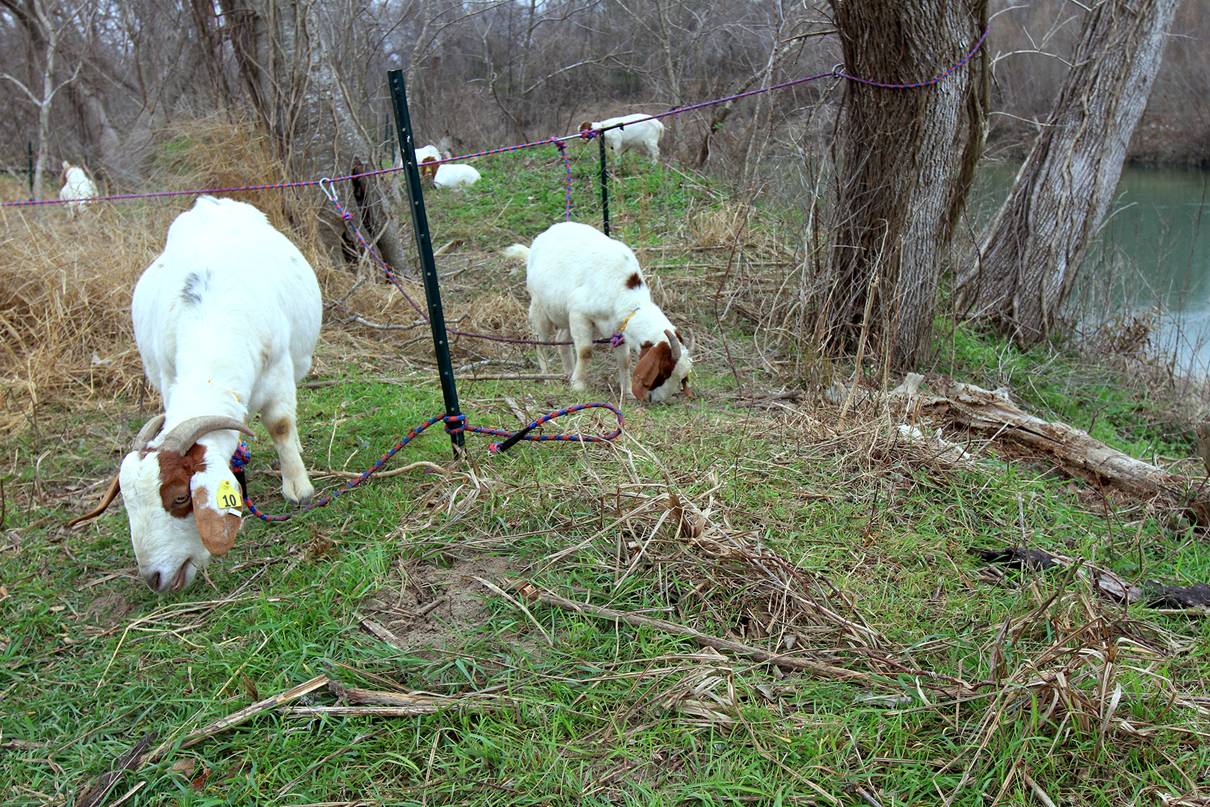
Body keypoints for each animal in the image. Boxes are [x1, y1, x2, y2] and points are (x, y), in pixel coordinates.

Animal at [69, 197, 322, 593]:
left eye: (180, 496)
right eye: (127, 505)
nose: (155, 578)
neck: (212, 324)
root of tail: (214, 204)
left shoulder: (279, 371)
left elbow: (280, 425)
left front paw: (298, 486)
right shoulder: (169, 378)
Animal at [504, 221, 692, 402]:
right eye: (664, 372)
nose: (658, 400)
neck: (623, 293)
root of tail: (535, 245)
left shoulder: (619, 326)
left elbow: (624, 360)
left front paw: (627, 392)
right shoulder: (579, 311)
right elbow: (585, 351)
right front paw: (578, 385)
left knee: (561, 339)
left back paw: (568, 373)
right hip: (539, 306)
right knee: (540, 341)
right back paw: (548, 377)